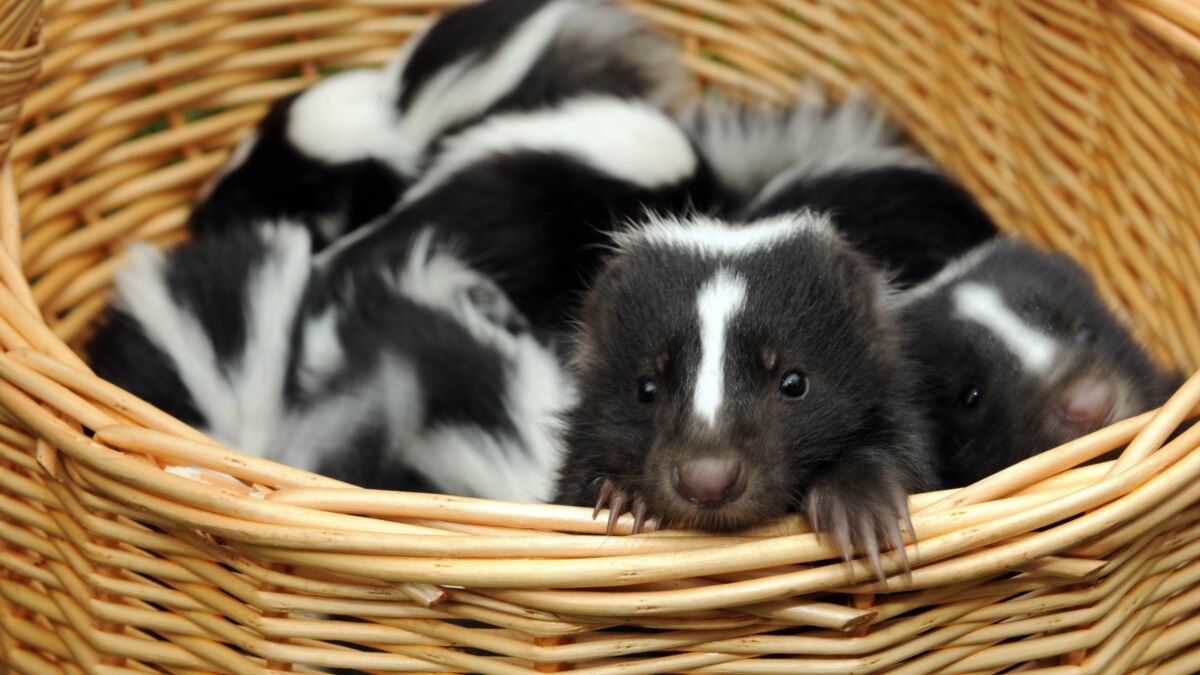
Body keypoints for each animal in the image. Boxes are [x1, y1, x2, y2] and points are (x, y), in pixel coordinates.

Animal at [555, 212, 935, 579]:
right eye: (646, 389)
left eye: (794, 383)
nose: (708, 480)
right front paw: (624, 497)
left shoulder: (889, 401)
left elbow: (902, 454)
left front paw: (859, 508)